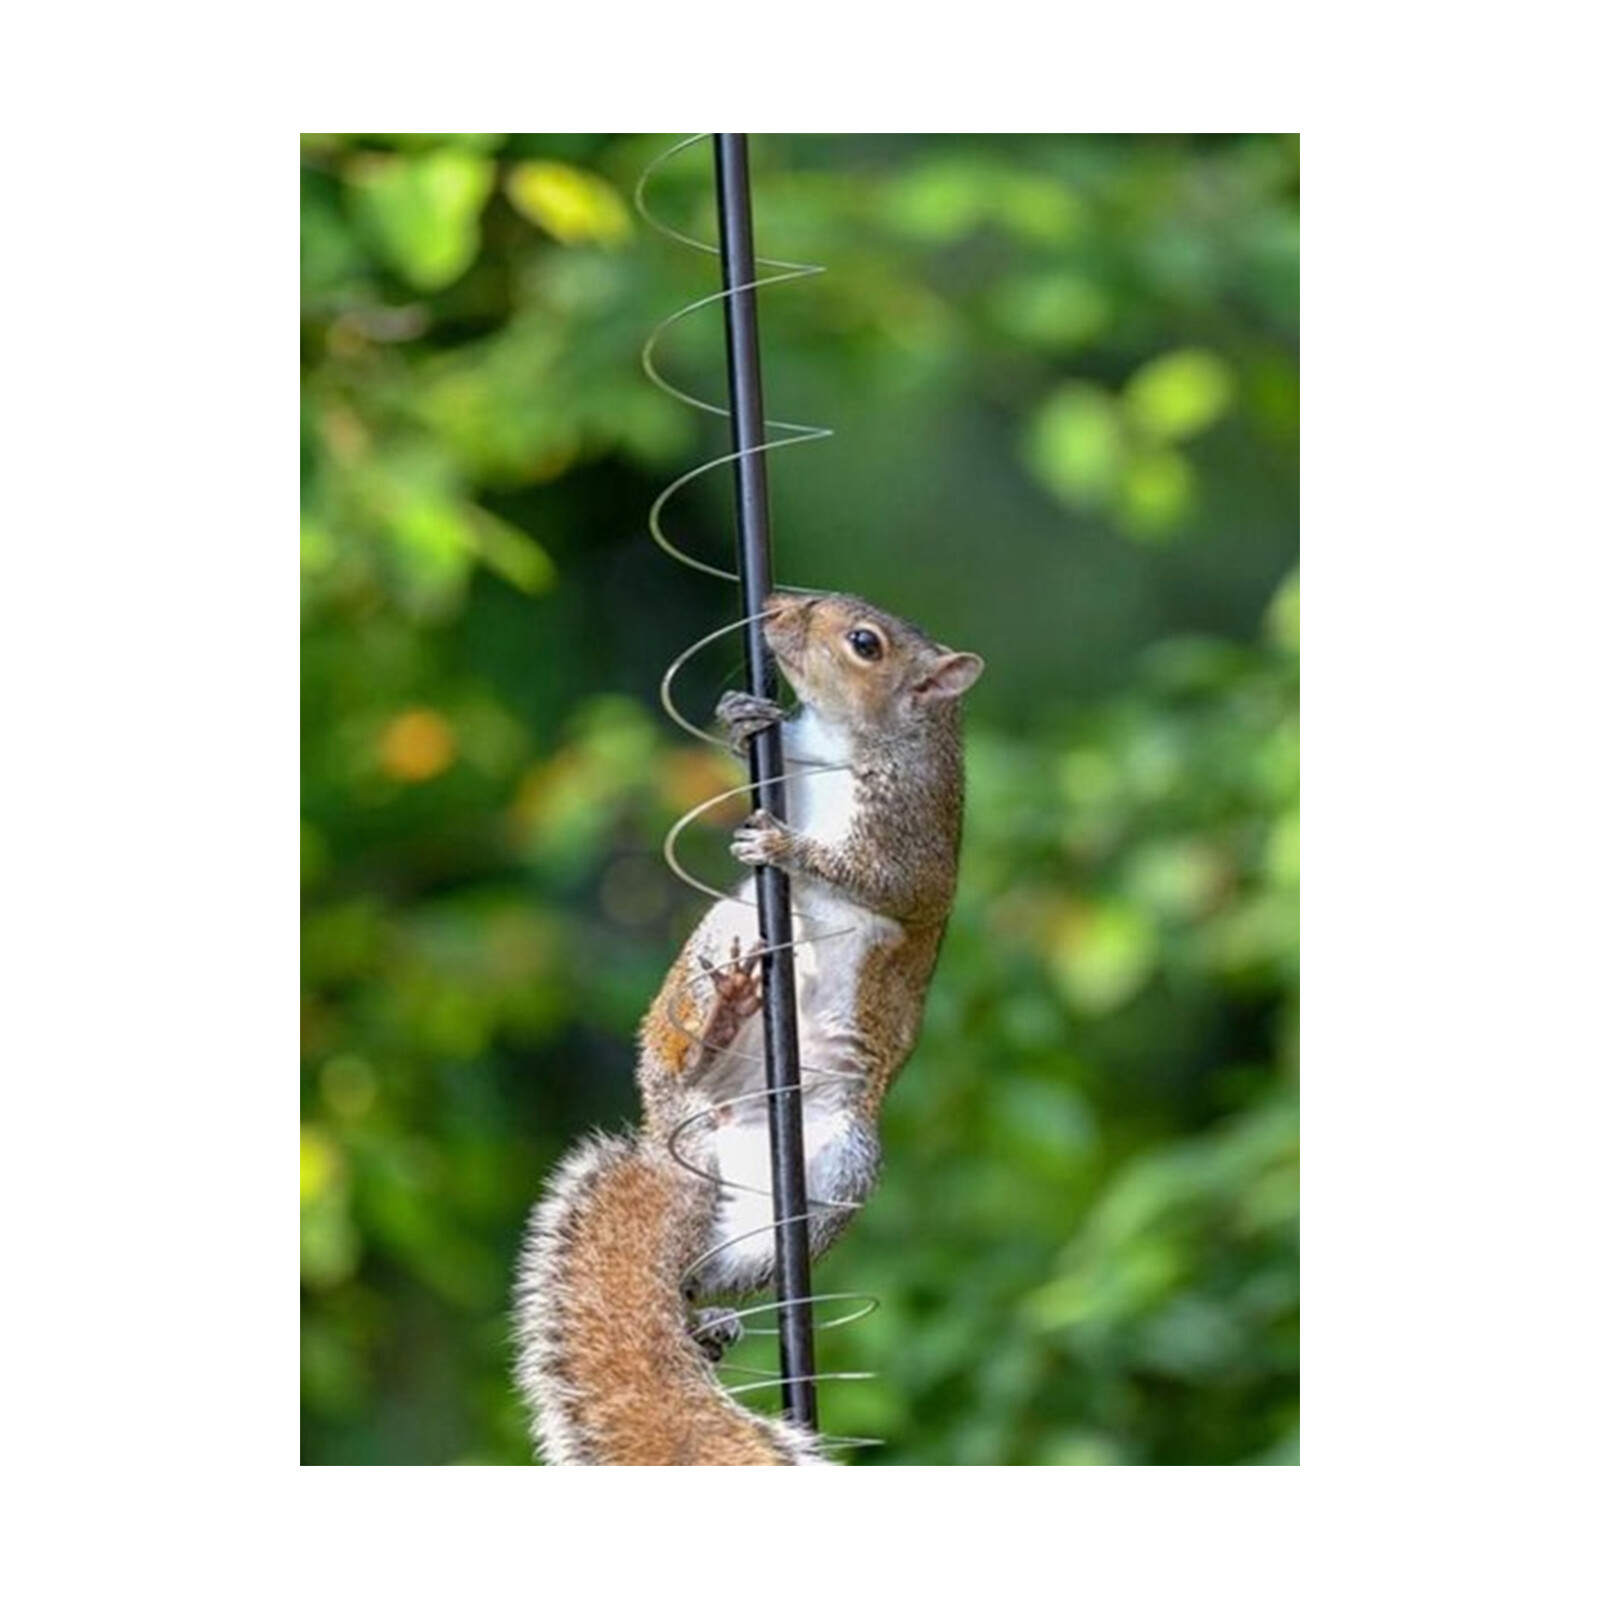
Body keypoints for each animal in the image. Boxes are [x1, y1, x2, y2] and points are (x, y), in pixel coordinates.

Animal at [513, 590, 984, 1464]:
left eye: (865, 642)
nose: (776, 606)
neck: (844, 738)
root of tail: (690, 1131)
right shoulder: (791, 761)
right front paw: (737, 717)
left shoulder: (912, 839)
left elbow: (876, 879)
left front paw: (790, 845)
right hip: (721, 936)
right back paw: (722, 1017)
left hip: (829, 1170)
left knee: (709, 1270)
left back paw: (705, 1323)